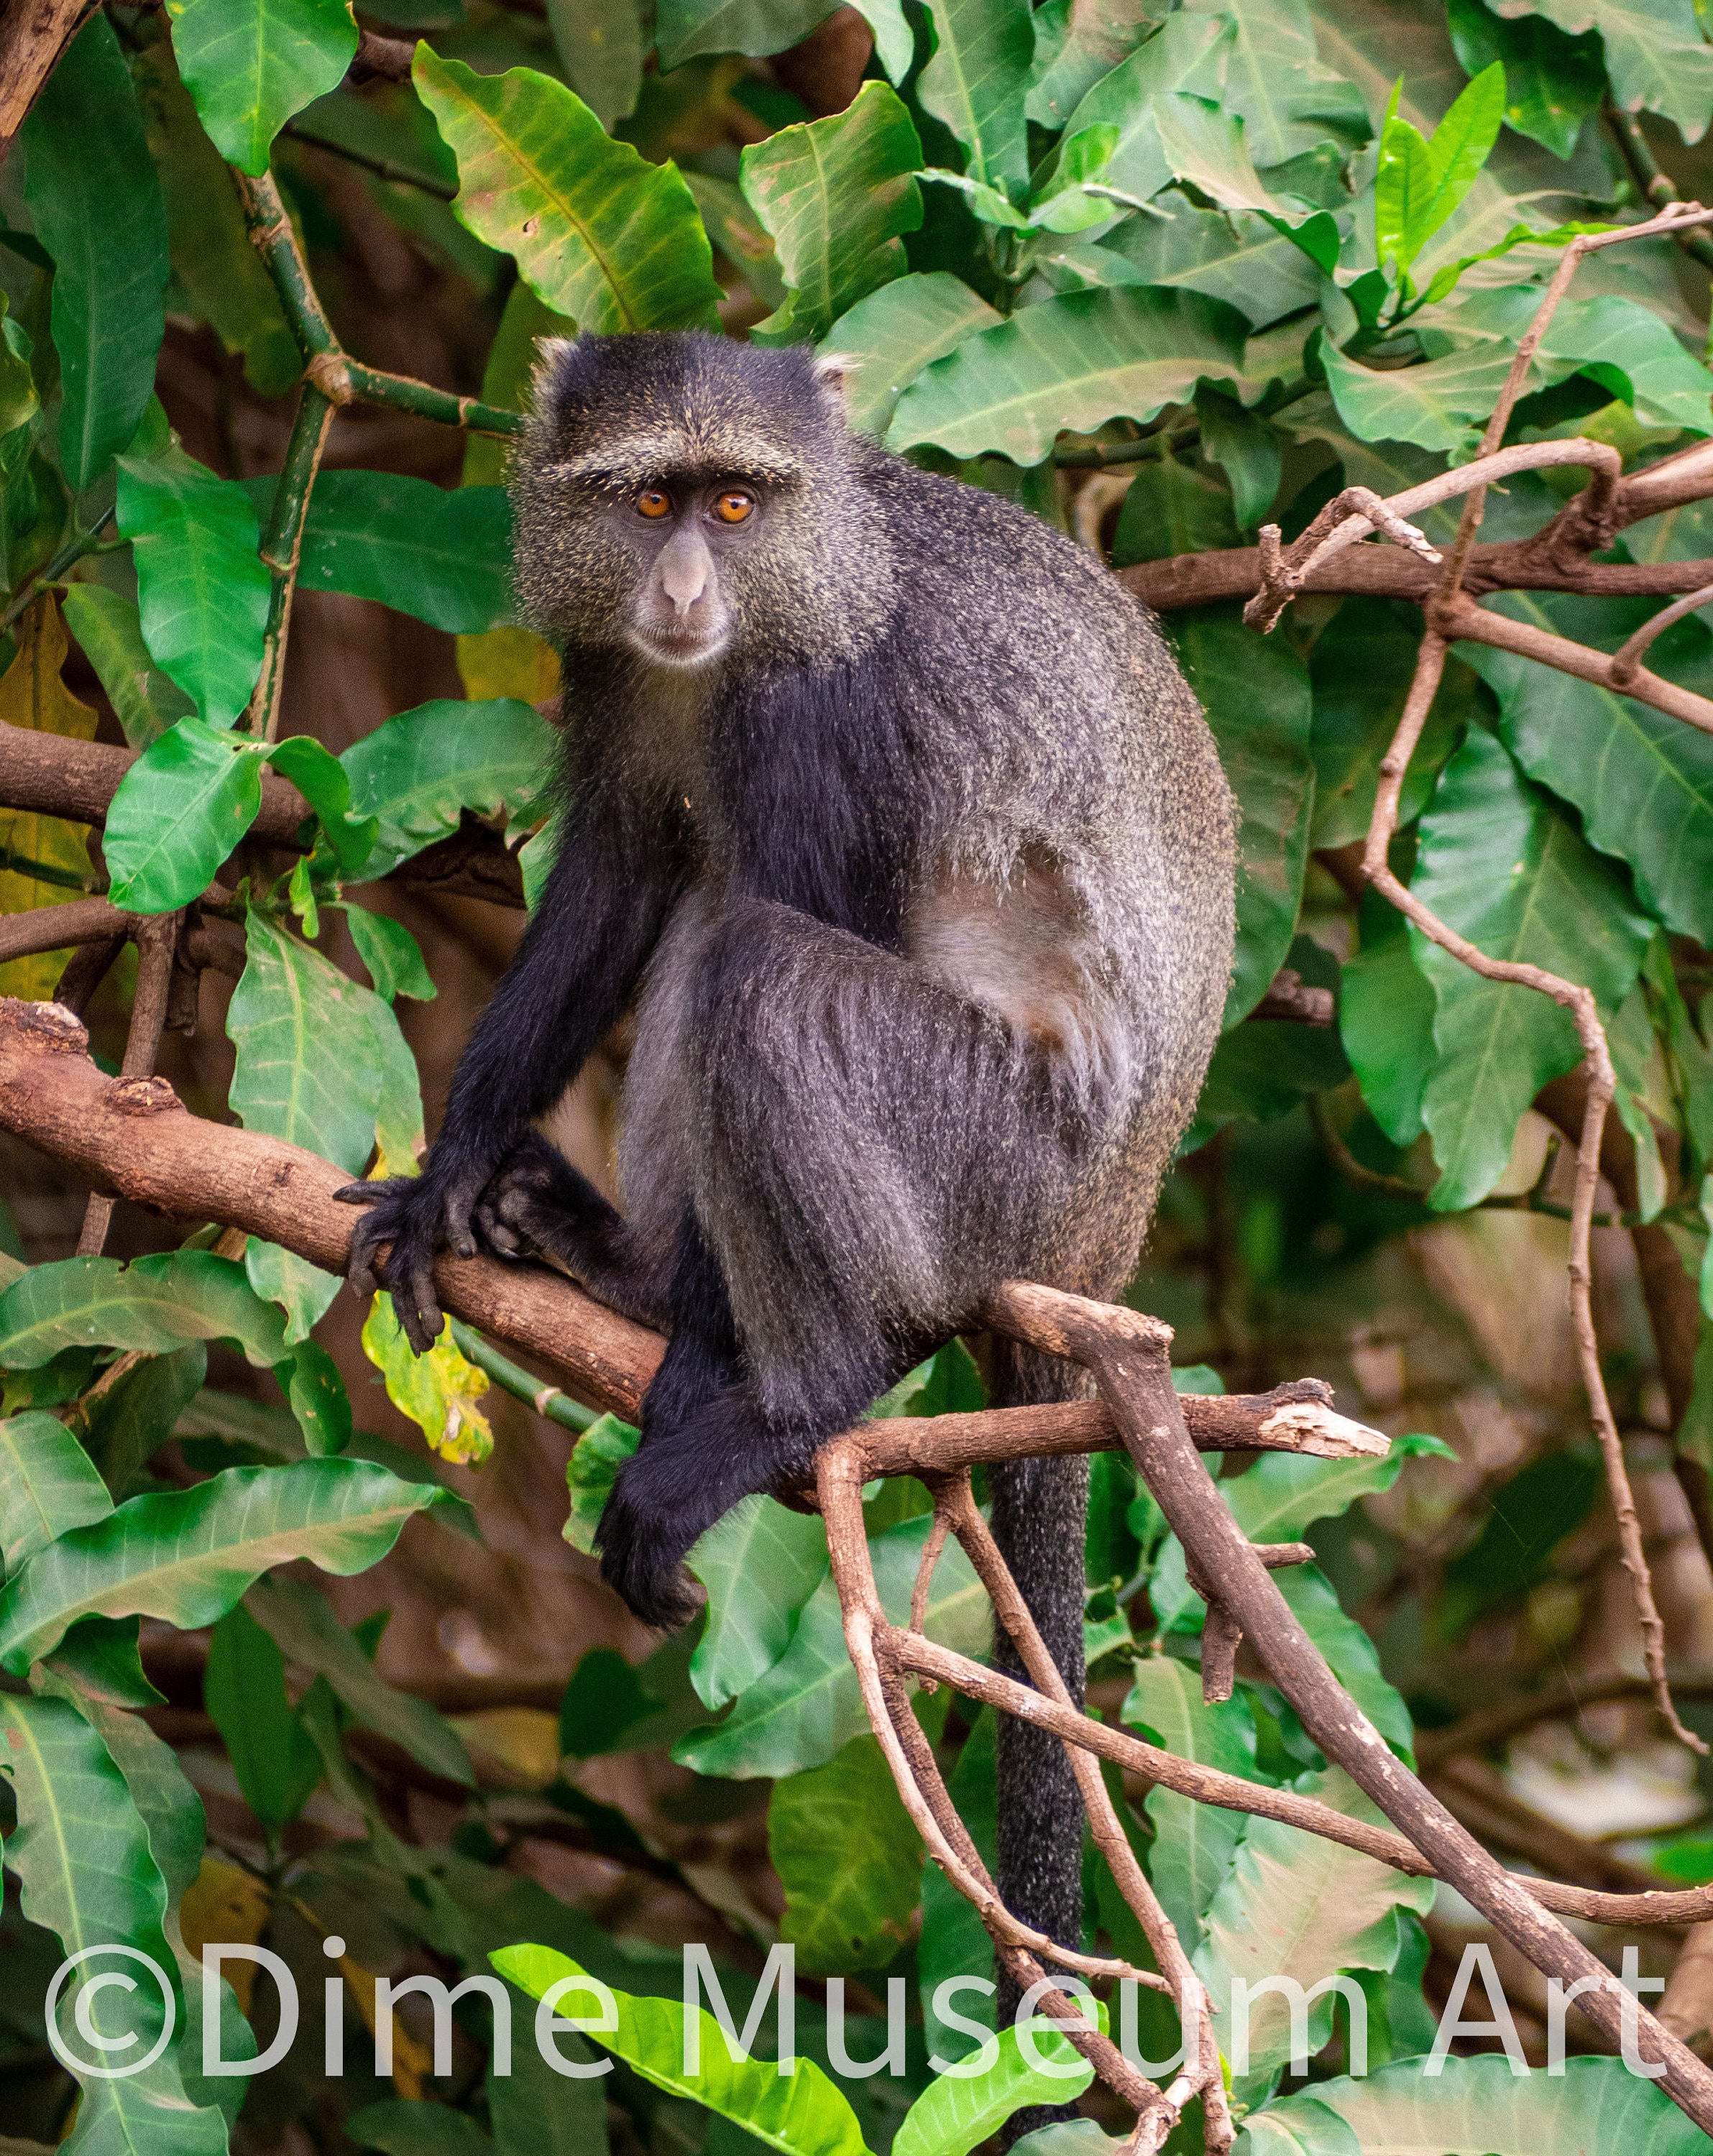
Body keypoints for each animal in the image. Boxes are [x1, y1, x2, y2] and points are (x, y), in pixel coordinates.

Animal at [338, 331, 1235, 2053]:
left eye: (740, 504)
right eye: (652, 502)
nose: (687, 586)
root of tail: (1099, 1248)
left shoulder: (821, 721)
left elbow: (789, 906)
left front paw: (710, 1378)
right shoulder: (615, 670)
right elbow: (624, 868)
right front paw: (454, 1168)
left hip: (988, 1150)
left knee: (755, 967)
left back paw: (797, 1391)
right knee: (704, 920)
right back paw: (611, 1258)